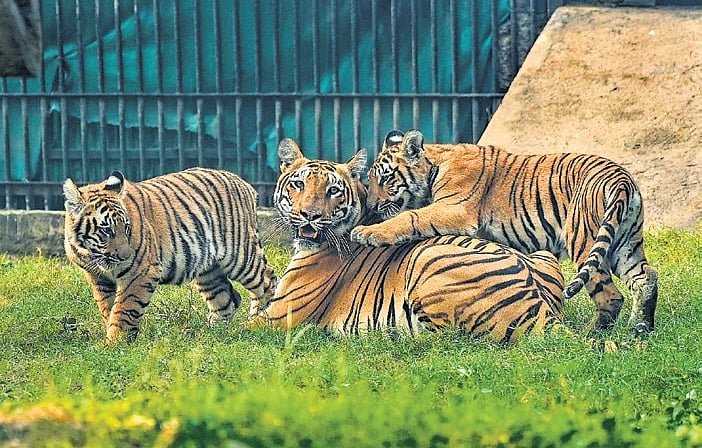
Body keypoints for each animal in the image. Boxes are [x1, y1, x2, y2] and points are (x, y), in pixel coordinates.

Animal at [63, 168, 277, 343]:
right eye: (106, 230)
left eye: (126, 227)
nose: (125, 256)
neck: (90, 254)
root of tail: (242, 182)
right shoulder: (98, 278)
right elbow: (108, 308)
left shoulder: (140, 273)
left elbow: (124, 309)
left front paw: (115, 343)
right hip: (209, 269)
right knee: (226, 298)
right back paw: (212, 333)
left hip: (240, 256)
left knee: (267, 280)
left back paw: (260, 321)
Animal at [248, 138, 566, 344]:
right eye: (298, 184)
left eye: (333, 190)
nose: (309, 215)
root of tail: (544, 310)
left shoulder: (278, 317)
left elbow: (237, 328)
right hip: (543, 254)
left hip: (427, 259)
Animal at [350, 129, 658, 334]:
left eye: (386, 179)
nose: (373, 205)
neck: (436, 164)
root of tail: (620, 178)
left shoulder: (454, 208)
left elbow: (409, 217)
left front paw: (367, 232)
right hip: (625, 245)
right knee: (646, 278)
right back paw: (640, 329)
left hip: (584, 241)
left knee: (611, 296)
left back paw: (592, 335)